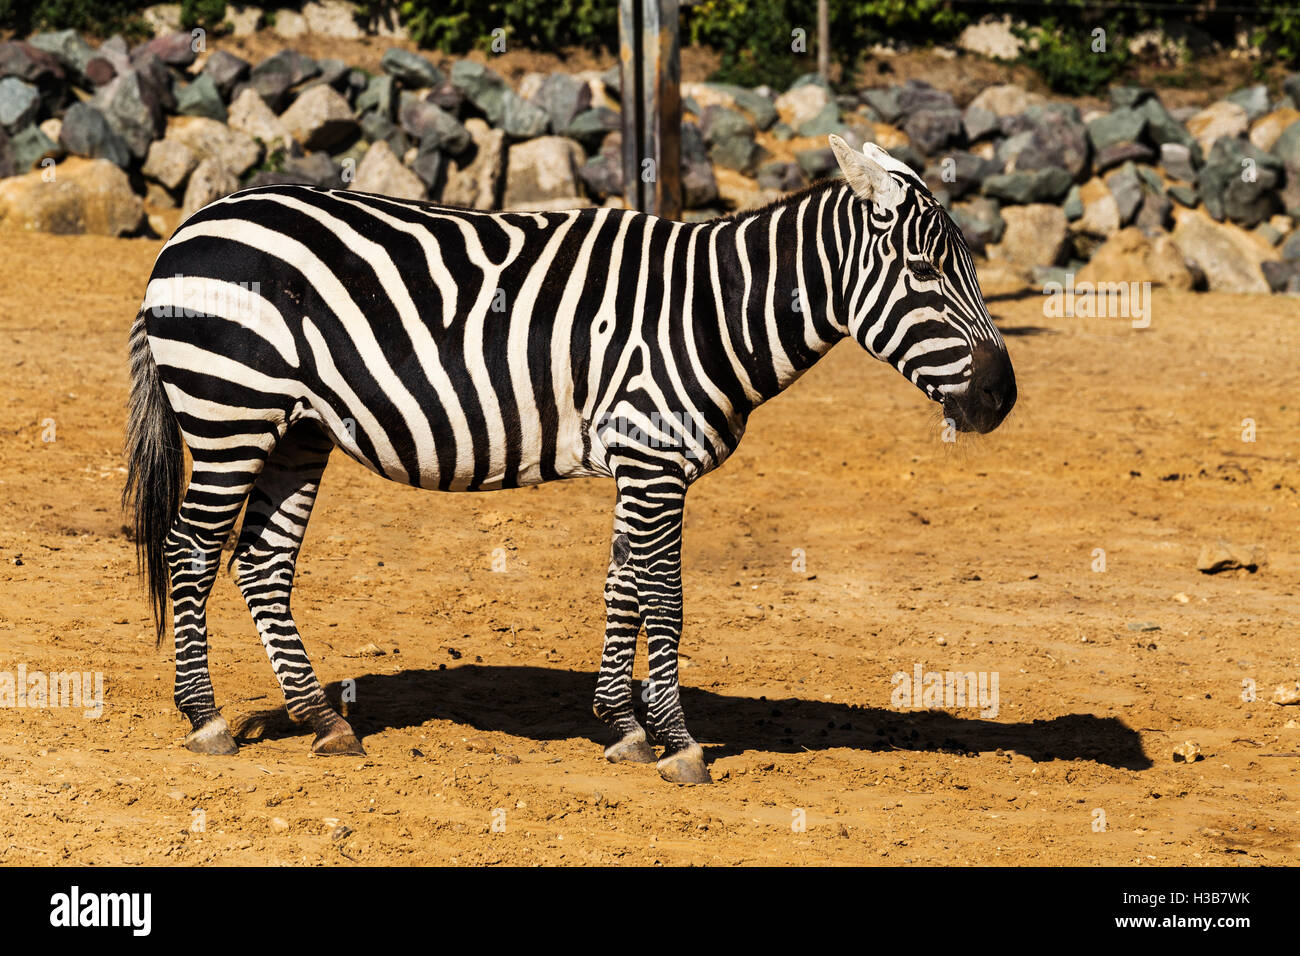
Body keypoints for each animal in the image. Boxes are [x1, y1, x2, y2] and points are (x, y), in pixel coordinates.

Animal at [124, 134, 1015, 785]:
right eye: (928, 271)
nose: (1002, 397)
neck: (712, 312)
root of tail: (191, 226)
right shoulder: (655, 457)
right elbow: (667, 598)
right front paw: (680, 743)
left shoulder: (642, 463)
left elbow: (624, 588)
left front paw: (622, 728)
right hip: (231, 409)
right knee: (191, 550)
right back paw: (205, 719)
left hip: (297, 428)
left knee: (260, 561)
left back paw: (323, 721)